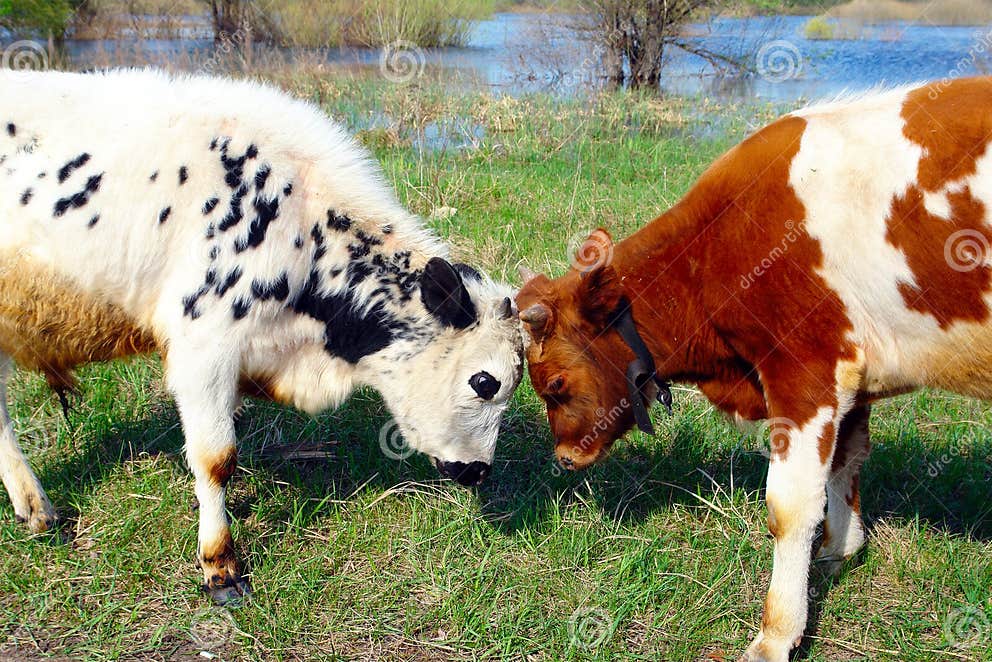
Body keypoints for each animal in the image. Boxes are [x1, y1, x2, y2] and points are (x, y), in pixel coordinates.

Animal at [0, 68, 524, 603]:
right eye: (485, 382)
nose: (479, 470)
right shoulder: (202, 347)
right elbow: (216, 458)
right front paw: (220, 565)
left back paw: (34, 509)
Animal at [516, 77, 992, 661]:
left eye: (556, 384)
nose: (563, 459)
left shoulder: (803, 370)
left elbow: (790, 507)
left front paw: (776, 636)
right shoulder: (849, 379)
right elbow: (847, 461)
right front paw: (841, 547)